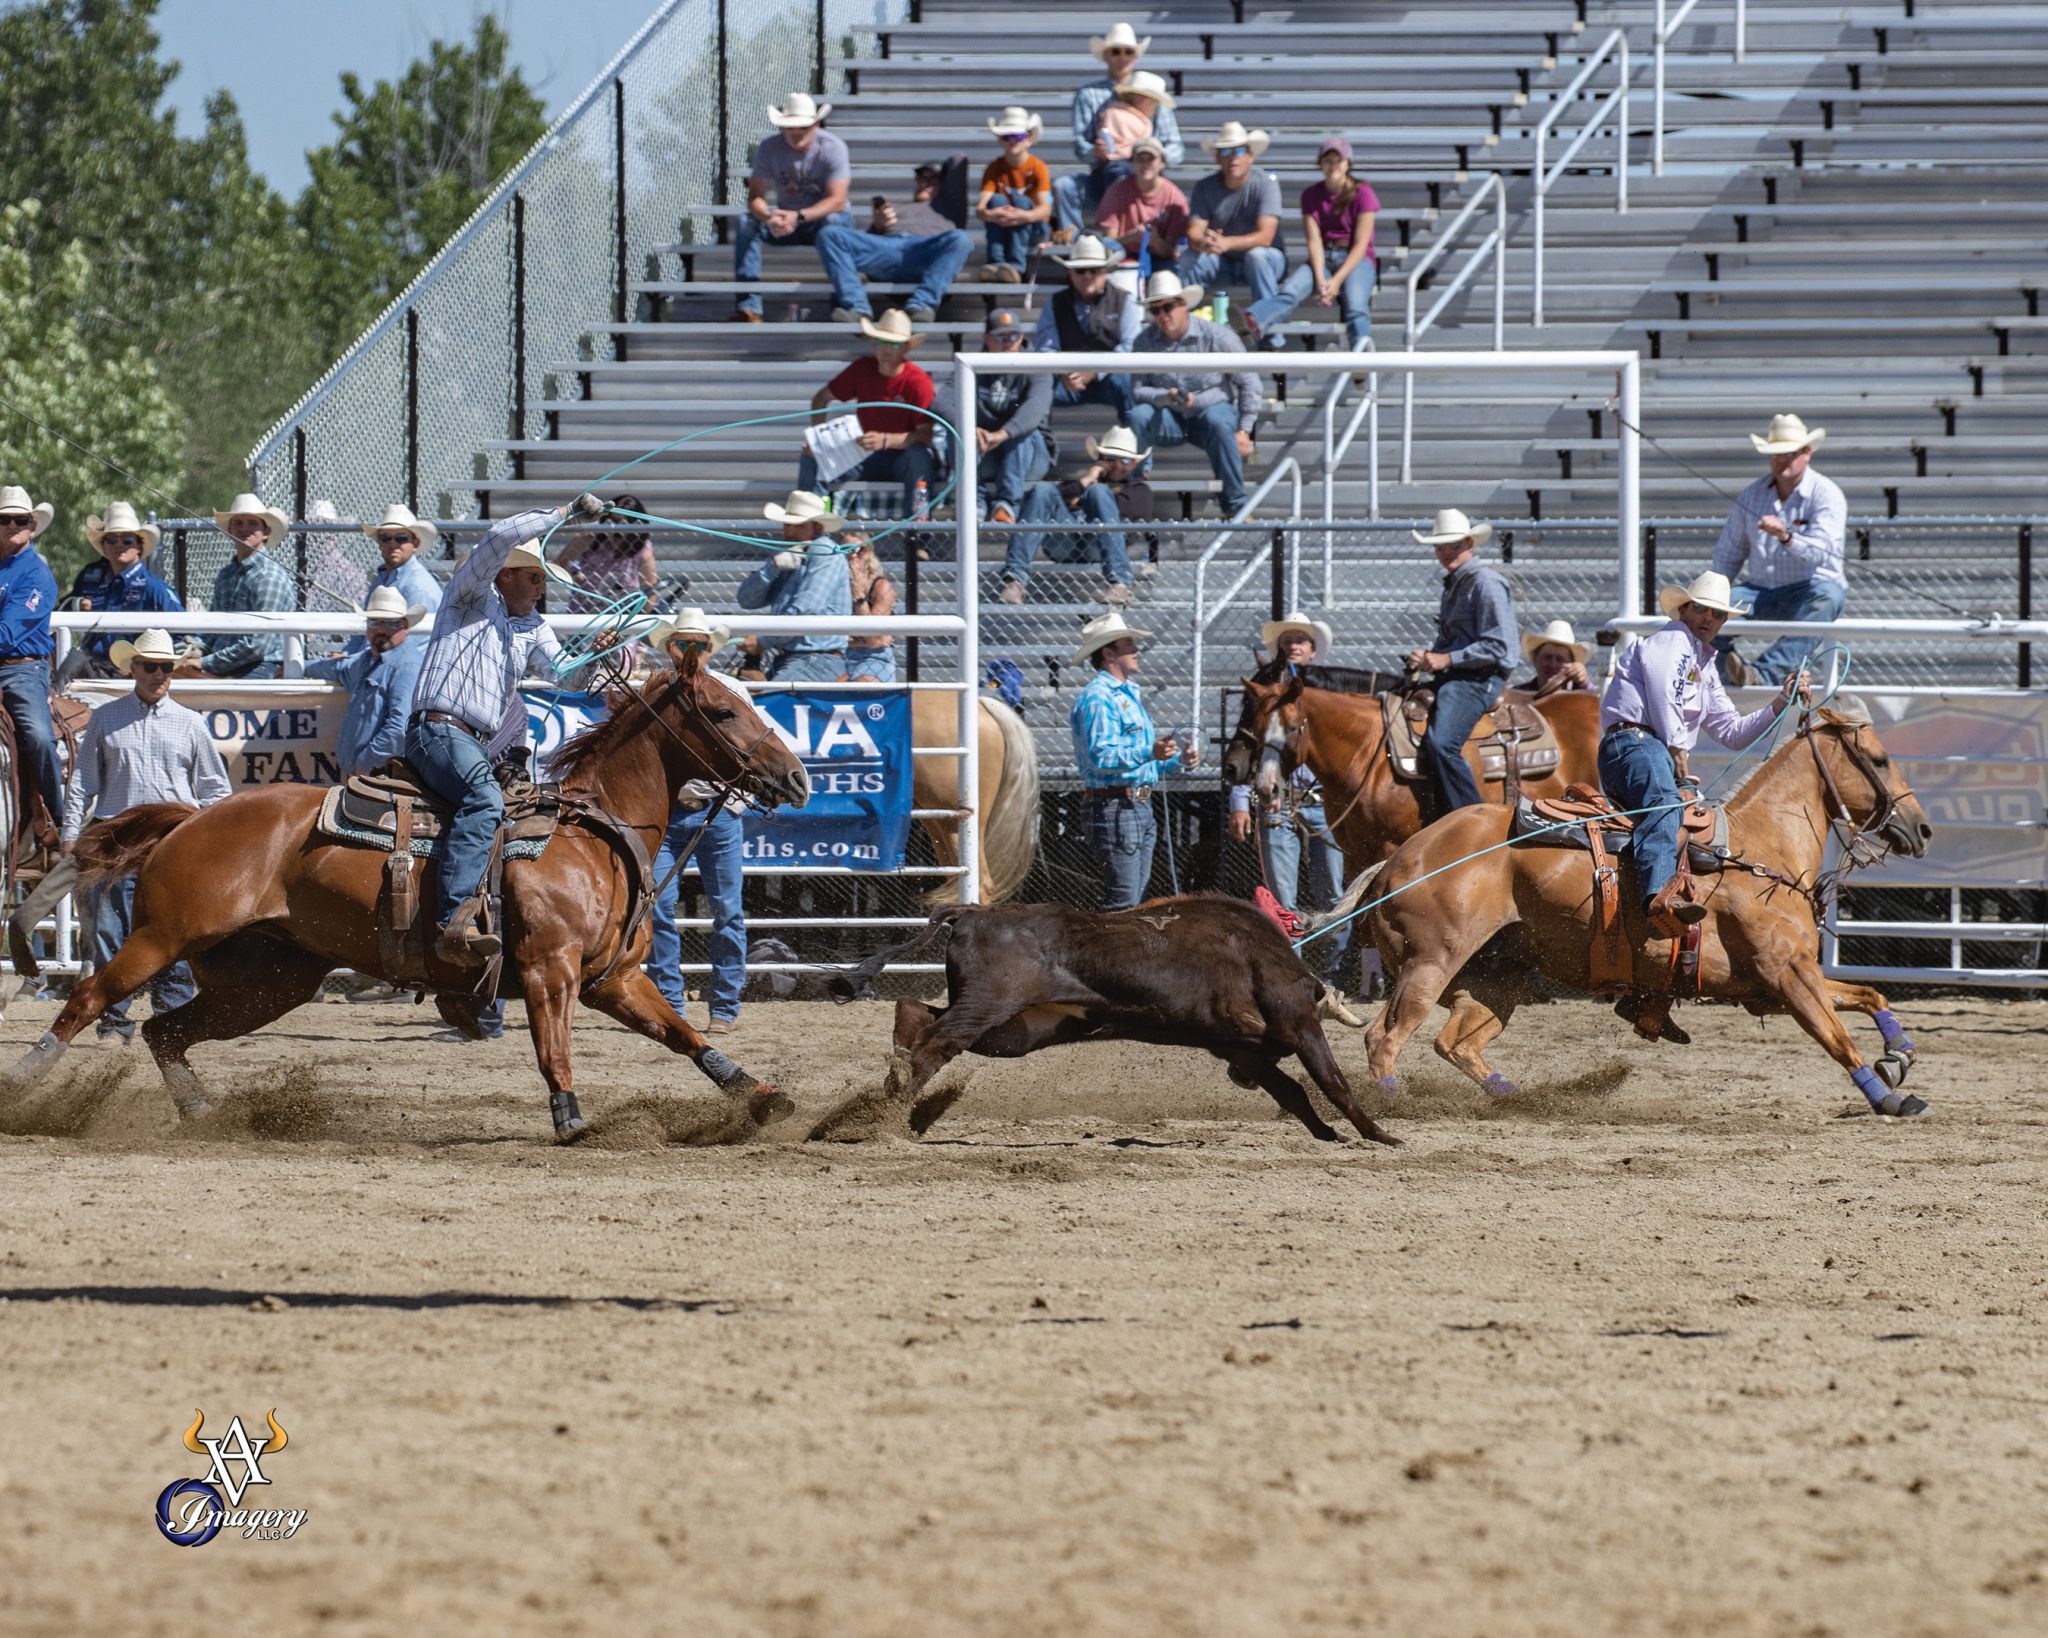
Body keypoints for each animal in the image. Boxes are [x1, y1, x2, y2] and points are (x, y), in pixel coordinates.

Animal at [0, 645, 811, 1140]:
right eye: (726, 711)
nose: (799, 777)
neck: (587, 832)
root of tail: (195, 815)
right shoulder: (549, 972)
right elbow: (554, 1051)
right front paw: (571, 1119)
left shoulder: (614, 979)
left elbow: (686, 1036)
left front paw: (765, 1097)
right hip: (165, 936)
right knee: (91, 998)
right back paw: (26, 1083)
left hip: (267, 980)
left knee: (166, 1031)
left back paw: (205, 1116)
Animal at [1218, 659, 1603, 875]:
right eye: (1257, 719)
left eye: (1293, 727)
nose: (1235, 769)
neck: (1369, 752)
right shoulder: (1355, 854)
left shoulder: (1392, 847)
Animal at [1354, 705, 1936, 1117]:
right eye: (1879, 760)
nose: (1923, 828)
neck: (1761, 849)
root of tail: (1397, 861)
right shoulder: (1787, 976)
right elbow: (1836, 1038)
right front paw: (1888, 1097)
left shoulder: (1779, 985)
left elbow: (1869, 995)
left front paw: (1900, 1053)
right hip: (1430, 963)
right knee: (1385, 1037)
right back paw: (1389, 1103)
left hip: (1500, 975)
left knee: (1457, 1043)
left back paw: (1514, 1095)